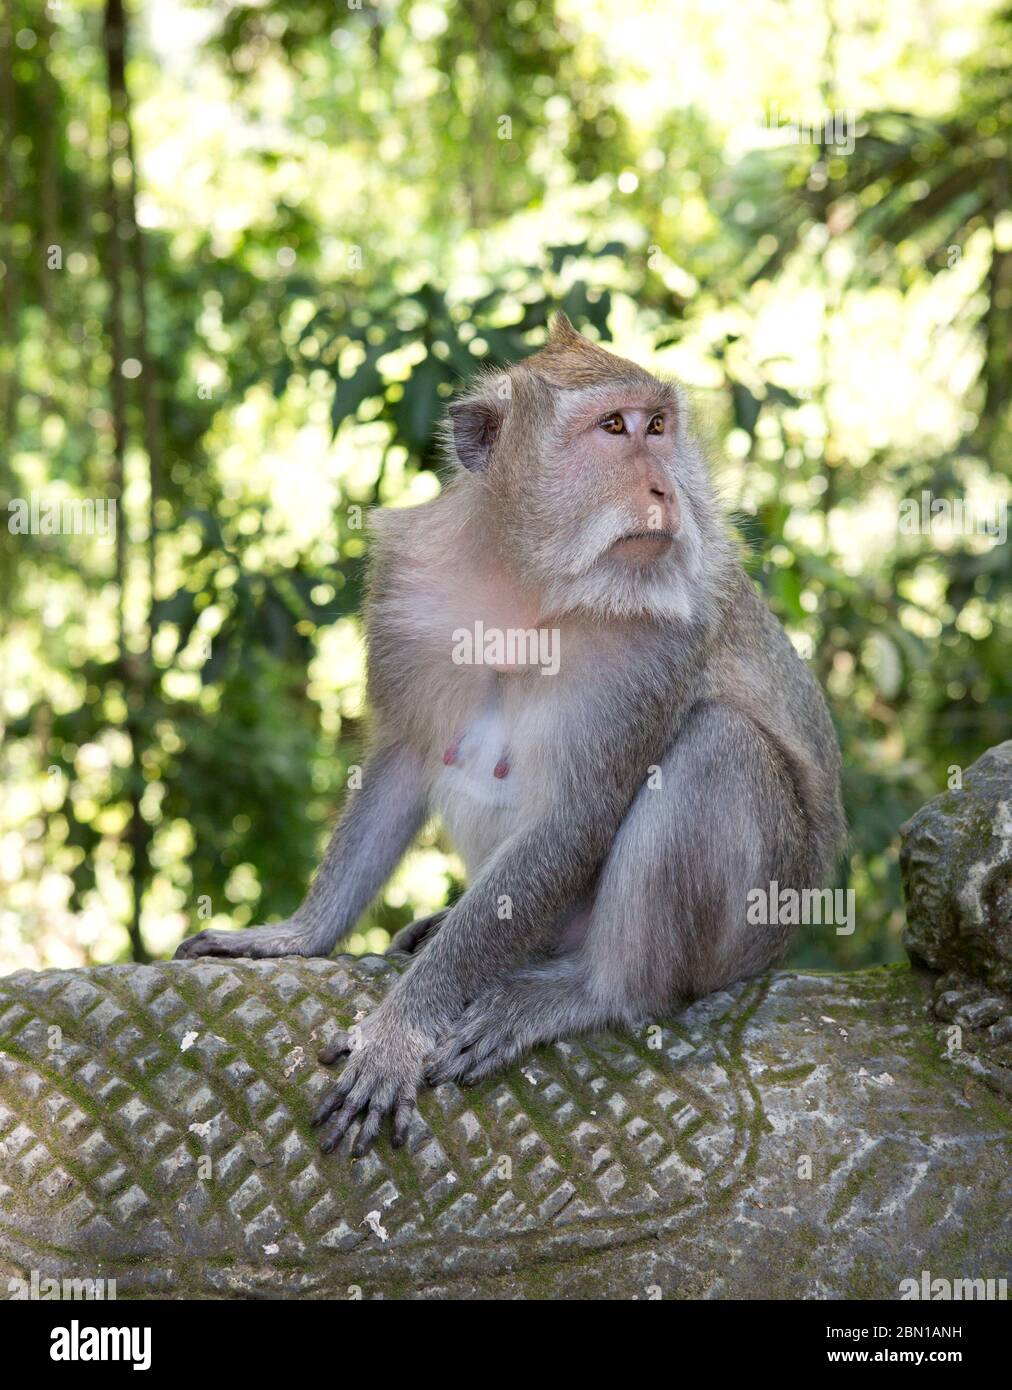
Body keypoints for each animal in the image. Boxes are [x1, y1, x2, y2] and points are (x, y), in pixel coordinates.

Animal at [175, 313, 845, 1156]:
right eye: (614, 428)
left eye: (659, 427)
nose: (664, 489)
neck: (529, 581)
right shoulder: (410, 589)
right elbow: (405, 759)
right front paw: (295, 935)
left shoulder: (658, 642)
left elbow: (575, 816)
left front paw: (397, 1032)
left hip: (752, 929)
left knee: (715, 743)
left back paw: (588, 990)